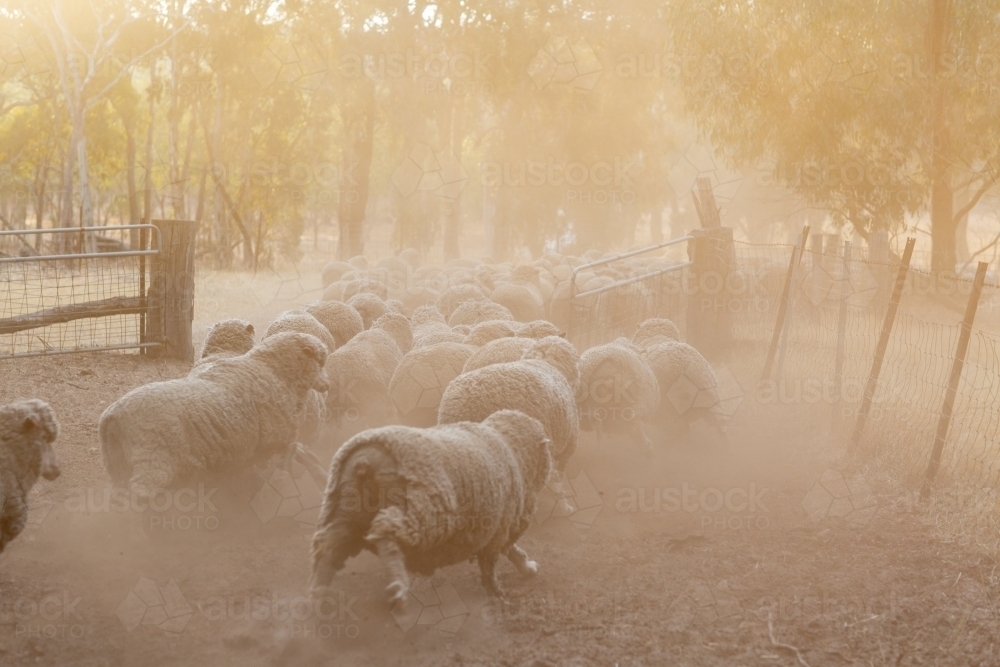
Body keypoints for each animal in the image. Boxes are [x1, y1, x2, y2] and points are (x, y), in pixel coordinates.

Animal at [99, 332, 330, 500]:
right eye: (320, 361)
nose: (327, 385)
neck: (273, 372)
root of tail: (112, 415)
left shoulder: (261, 448)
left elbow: (298, 453)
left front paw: (319, 473)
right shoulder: (275, 440)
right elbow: (291, 456)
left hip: (118, 462)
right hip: (154, 459)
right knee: (141, 493)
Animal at [309, 409, 551, 601]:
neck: (512, 450)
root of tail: (364, 461)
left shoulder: (499, 527)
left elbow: (509, 550)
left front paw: (527, 568)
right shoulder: (499, 528)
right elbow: (490, 564)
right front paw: (496, 593)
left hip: (342, 511)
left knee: (328, 547)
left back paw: (318, 594)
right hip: (423, 514)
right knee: (385, 530)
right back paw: (397, 588)